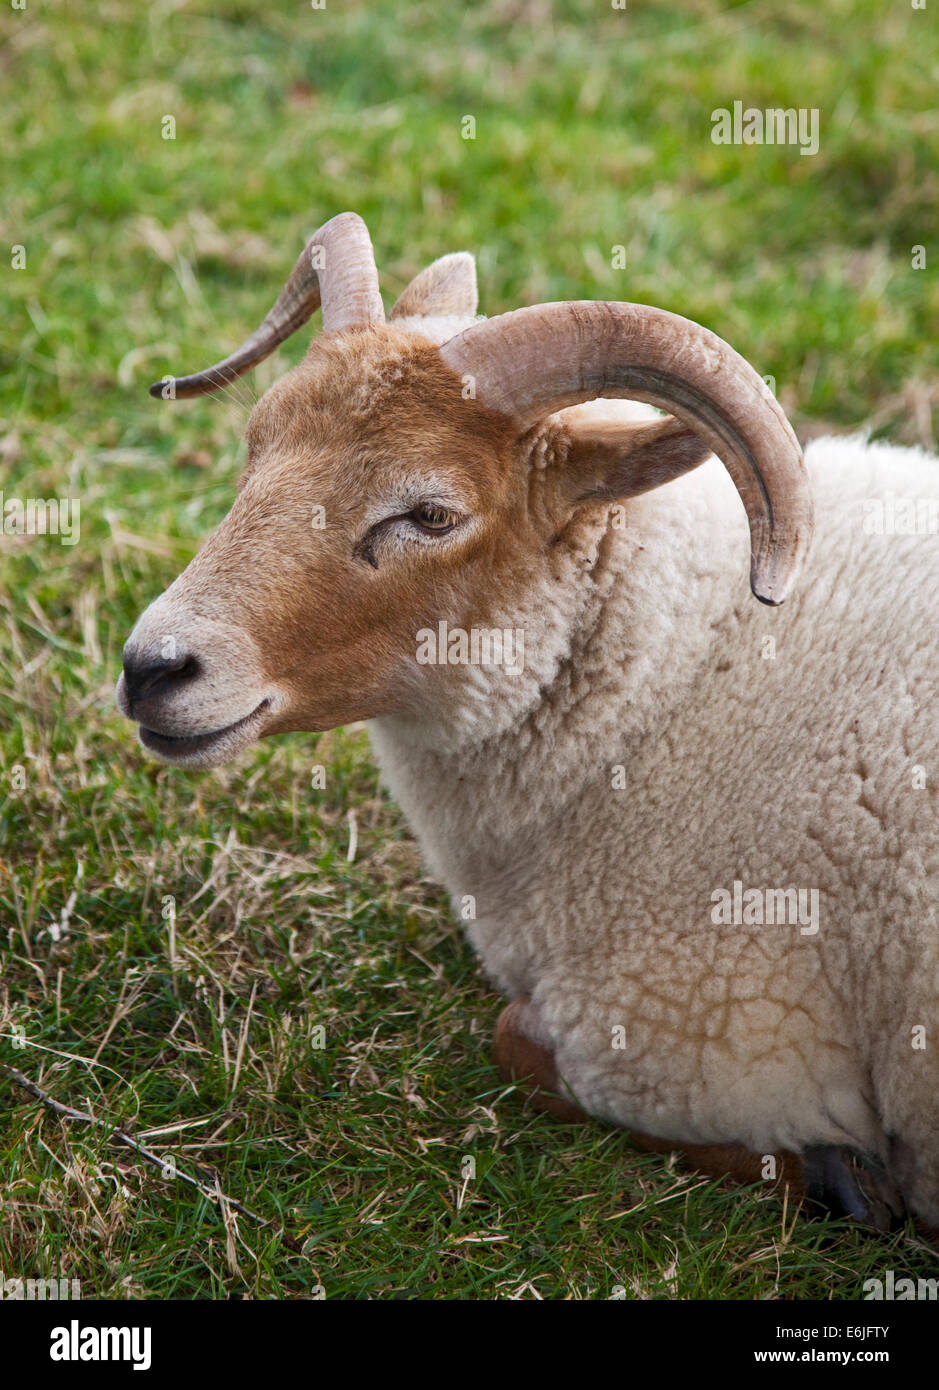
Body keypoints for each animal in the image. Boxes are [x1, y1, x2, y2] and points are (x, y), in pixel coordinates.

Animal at [117, 212, 939, 1236]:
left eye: (430, 513)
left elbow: (515, 1040)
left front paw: (837, 1176)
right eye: (254, 445)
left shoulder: (705, 1037)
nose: (151, 669)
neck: (672, 678)